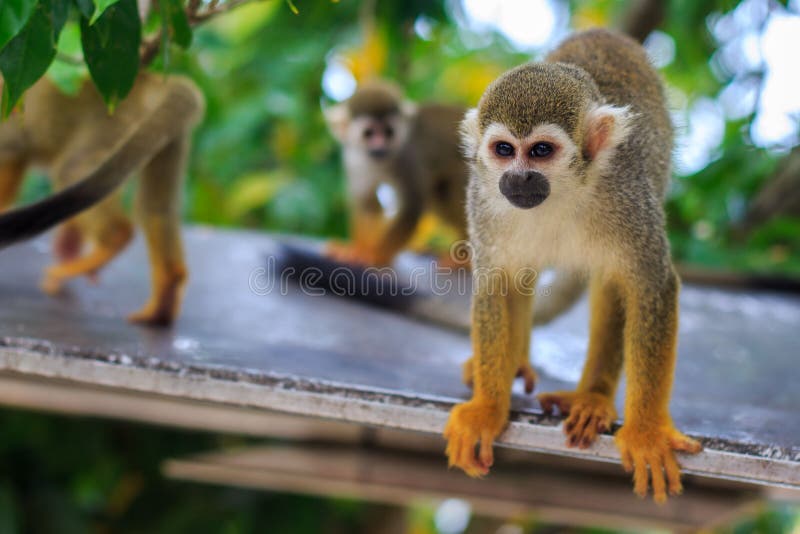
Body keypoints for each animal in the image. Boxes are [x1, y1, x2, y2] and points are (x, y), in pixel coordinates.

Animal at [0, 72, 204, 325]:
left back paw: (113, 239)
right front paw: (68, 244)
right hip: (167, 133)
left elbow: (11, 152)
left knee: (73, 170)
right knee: (156, 208)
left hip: (111, 118)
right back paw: (165, 296)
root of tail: (150, 81)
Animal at [324, 80, 470, 267]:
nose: (380, 147)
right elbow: (367, 204)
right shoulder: (355, 162)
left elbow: (411, 207)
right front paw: (358, 249)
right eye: (369, 133)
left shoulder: (406, 158)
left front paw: (375, 255)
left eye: (388, 132)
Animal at [443, 29, 702, 503]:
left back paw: (592, 399)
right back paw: (515, 364)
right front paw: (487, 408)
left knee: (611, 281)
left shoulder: (627, 194)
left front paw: (646, 432)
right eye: (504, 150)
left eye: (541, 151)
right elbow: (497, 283)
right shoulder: (483, 198)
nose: (518, 178)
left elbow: (648, 284)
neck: (564, 193)